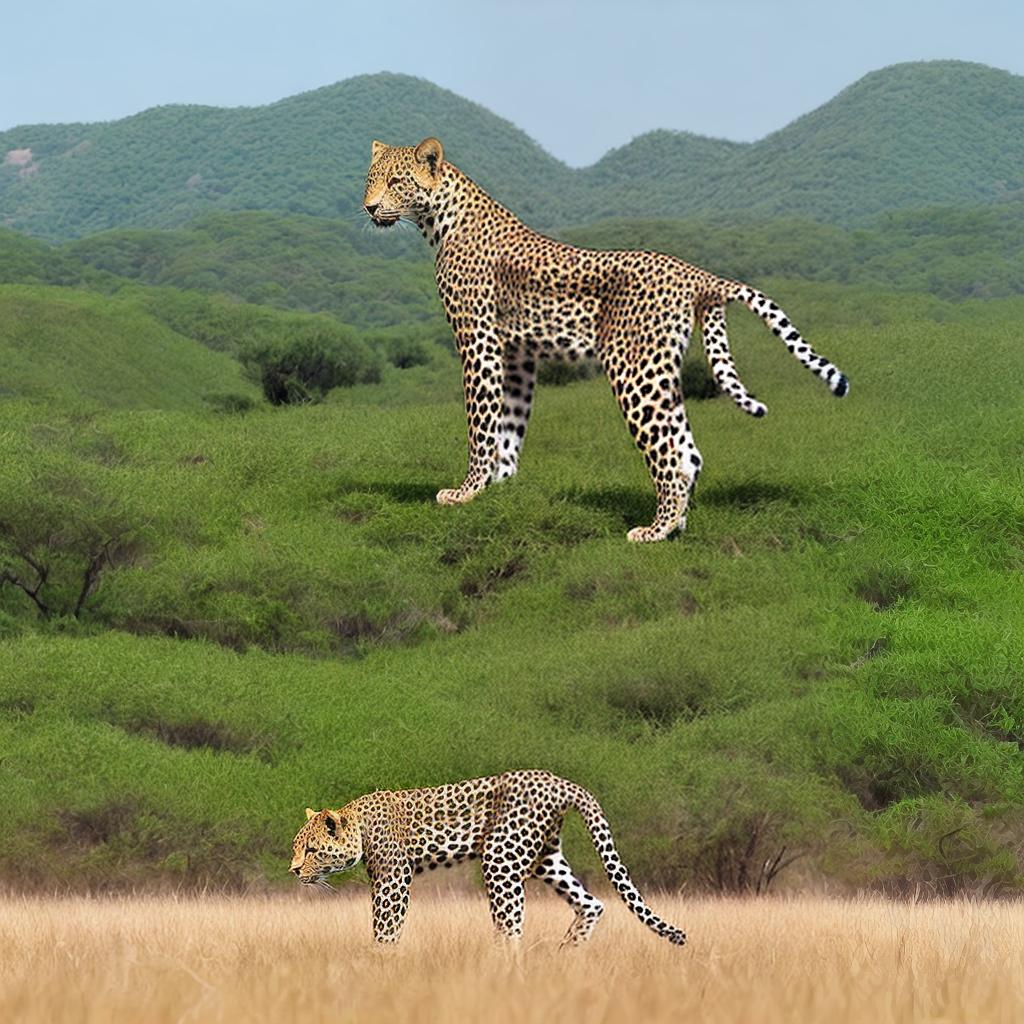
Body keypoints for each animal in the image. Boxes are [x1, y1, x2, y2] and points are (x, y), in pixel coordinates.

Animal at [291, 769, 686, 947]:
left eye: (311, 851)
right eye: (296, 848)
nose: (293, 870)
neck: (360, 824)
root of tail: (560, 781)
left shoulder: (392, 877)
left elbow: (386, 926)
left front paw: (380, 958)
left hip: (500, 859)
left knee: (511, 926)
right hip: (544, 859)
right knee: (592, 904)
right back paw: (566, 954)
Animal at [363, 137, 849, 542]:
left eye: (395, 181)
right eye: (370, 179)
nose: (368, 208)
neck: (438, 220)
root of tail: (694, 271)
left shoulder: (478, 339)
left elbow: (481, 422)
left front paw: (466, 492)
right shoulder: (517, 353)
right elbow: (509, 424)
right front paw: (499, 487)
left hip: (634, 371)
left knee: (671, 456)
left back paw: (655, 531)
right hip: (660, 371)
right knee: (688, 453)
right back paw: (677, 524)